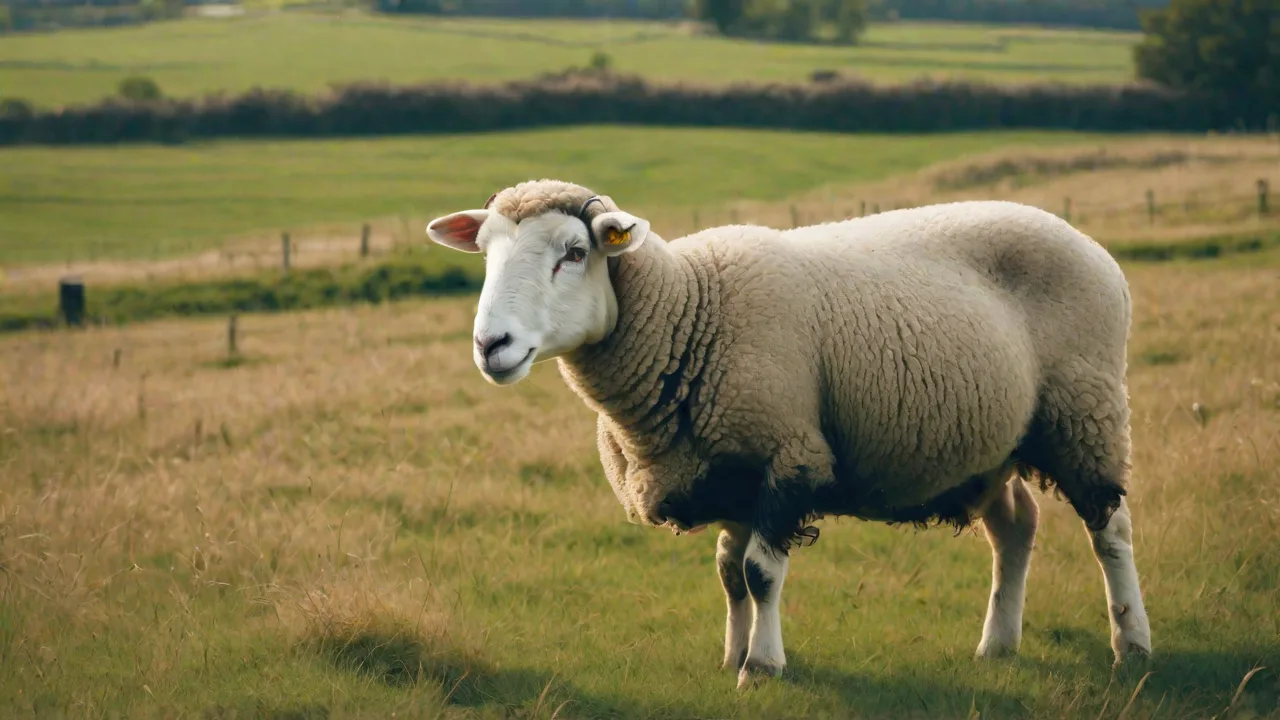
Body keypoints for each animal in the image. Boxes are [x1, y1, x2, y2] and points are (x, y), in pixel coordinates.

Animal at [426, 178, 1153, 690]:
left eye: (575, 254)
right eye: (485, 253)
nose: (492, 345)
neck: (690, 310)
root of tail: (1093, 248)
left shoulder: (786, 454)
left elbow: (760, 571)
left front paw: (763, 668)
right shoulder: (728, 467)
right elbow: (729, 575)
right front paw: (732, 655)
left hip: (1086, 409)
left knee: (1110, 530)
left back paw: (1133, 645)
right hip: (991, 443)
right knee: (1015, 527)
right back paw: (997, 645)